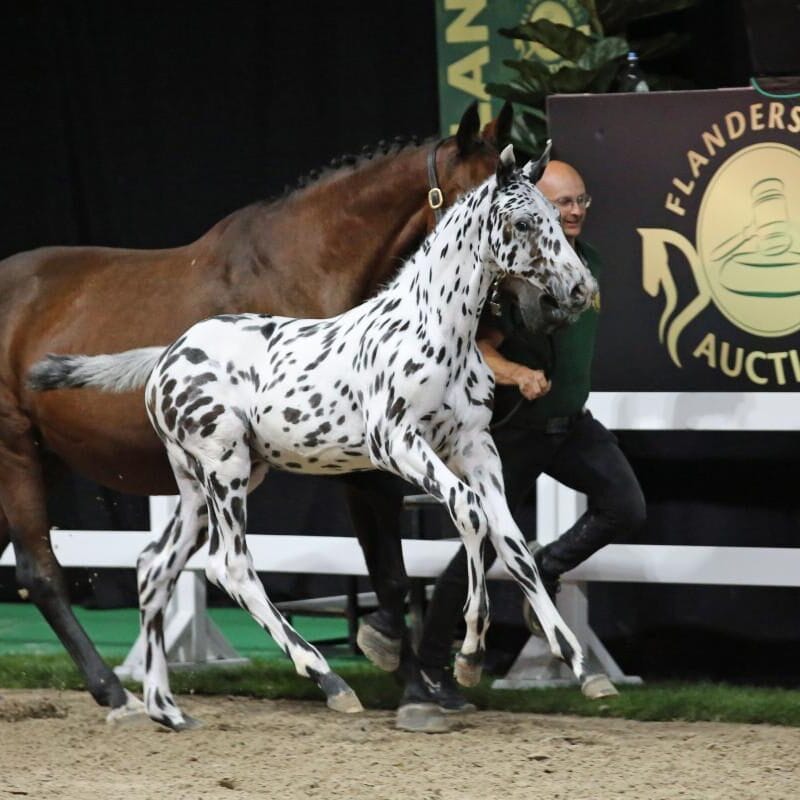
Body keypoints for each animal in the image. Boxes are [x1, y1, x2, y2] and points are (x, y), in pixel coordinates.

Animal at [29, 144, 598, 730]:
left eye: (557, 216)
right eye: (524, 221)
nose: (580, 291)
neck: (434, 330)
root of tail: (166, 353)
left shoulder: (475, 446)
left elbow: (513, 544)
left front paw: (576, 662)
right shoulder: (396, 444)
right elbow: (468, 514)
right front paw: (468, 655)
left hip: (200, 484)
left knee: (154, 566)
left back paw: (165, 708)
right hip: (225, 468)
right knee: (229, 566)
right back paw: (327, 678)